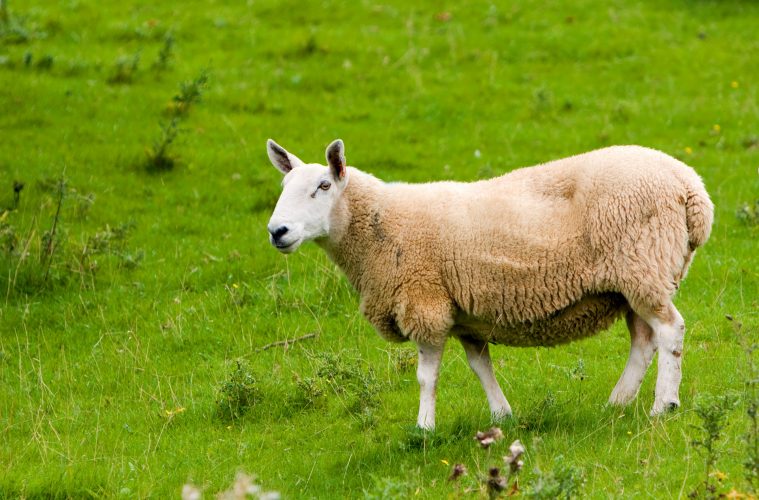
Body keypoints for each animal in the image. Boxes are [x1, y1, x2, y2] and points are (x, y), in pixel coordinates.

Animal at [265, 139, 714, 429]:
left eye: (323, 186)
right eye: (283, 188)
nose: (277, 231)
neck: (381, 225)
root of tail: (692, 189)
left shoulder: (425, 301)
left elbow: (426, 377)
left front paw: (424, 428)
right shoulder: (465, 315)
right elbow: (481, 367)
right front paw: (502, 416)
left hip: (643, 263)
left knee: (670, 330)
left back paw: (663, 406)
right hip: (635, 278)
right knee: (644, 340)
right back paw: (617, 403)